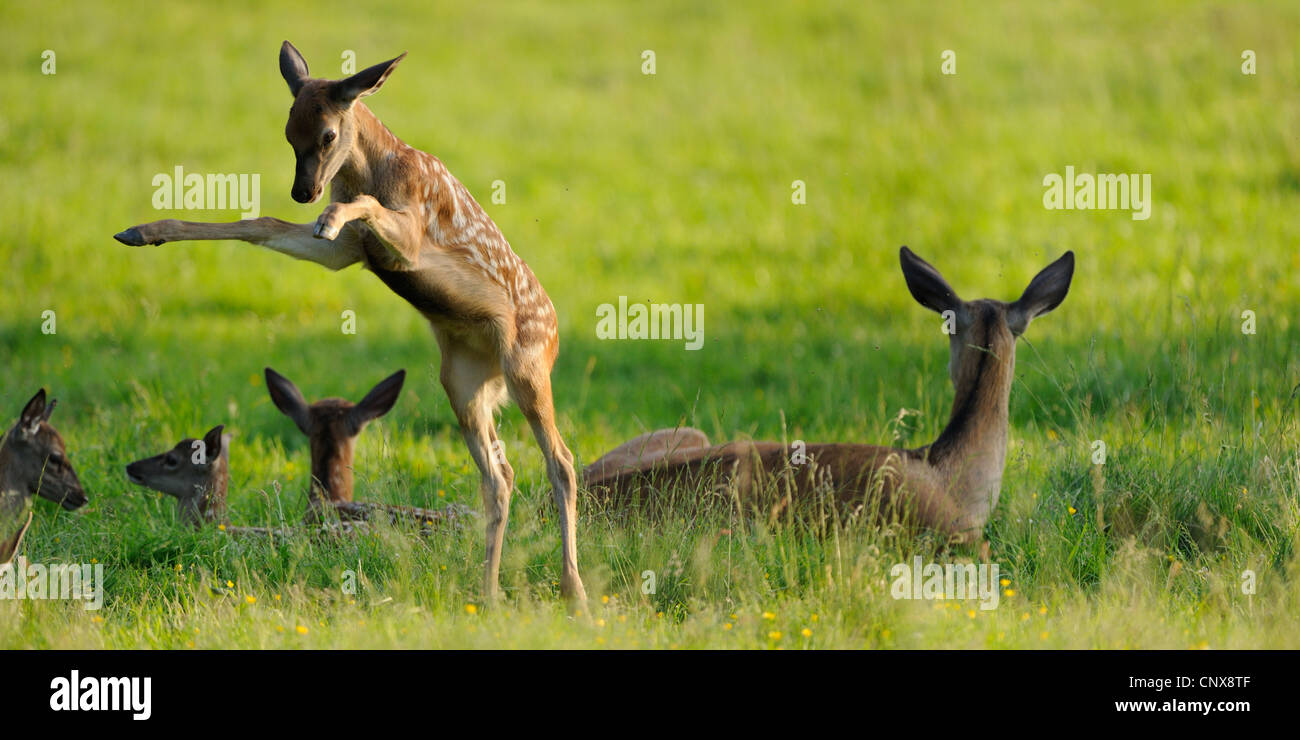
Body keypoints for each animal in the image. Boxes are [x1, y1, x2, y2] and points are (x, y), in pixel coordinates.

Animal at [114, 42, 586, 604]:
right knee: (501, 475)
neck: (376, 169)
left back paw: (573, 591)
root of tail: (553, 337)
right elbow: (261, 225)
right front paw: (141, 231)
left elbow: (360, 209)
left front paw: (331, 215)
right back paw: (488, 591)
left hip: (527, 365)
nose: (304, 192)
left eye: (327, 135)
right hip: (462, 382)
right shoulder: (347, 254)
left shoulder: (411, 235)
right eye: (287, 132)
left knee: (562, 462)